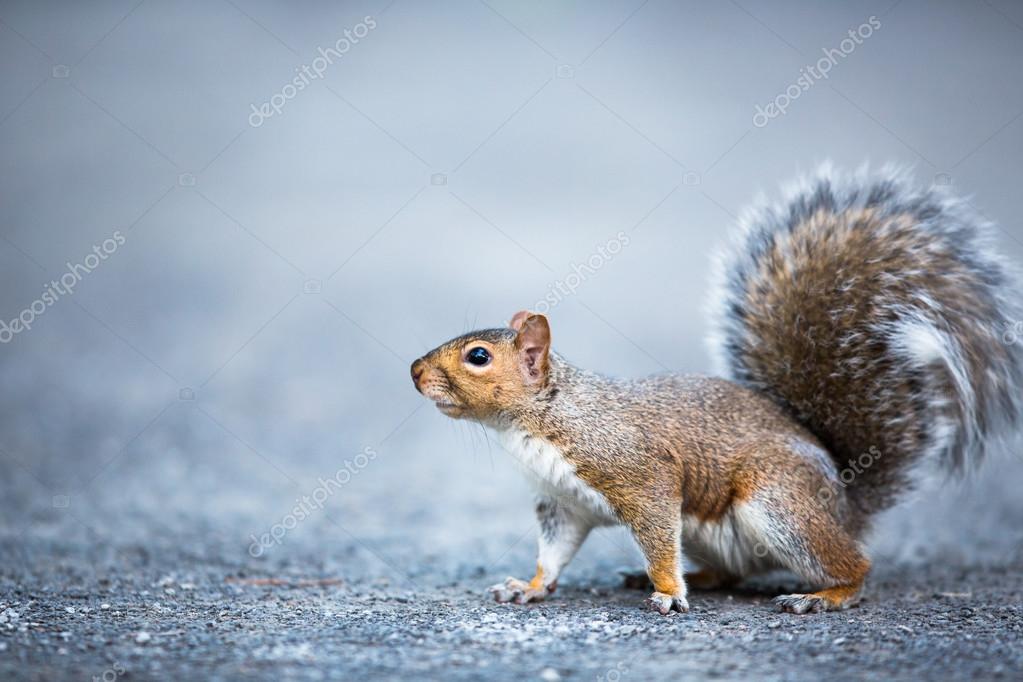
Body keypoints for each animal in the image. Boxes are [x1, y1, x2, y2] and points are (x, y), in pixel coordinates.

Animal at [410, 167, 1023, 615]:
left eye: (478, 357)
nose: (414, 371)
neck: (538, 419)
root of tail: (846, 501)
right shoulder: (564, 502)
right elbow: (555, 549)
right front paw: (531, 585)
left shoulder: (640, 473)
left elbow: (656, 532)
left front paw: (666, 592)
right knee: (734, 569)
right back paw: (697, 576)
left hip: (780, 503)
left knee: (854, 565)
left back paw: (821, 595)